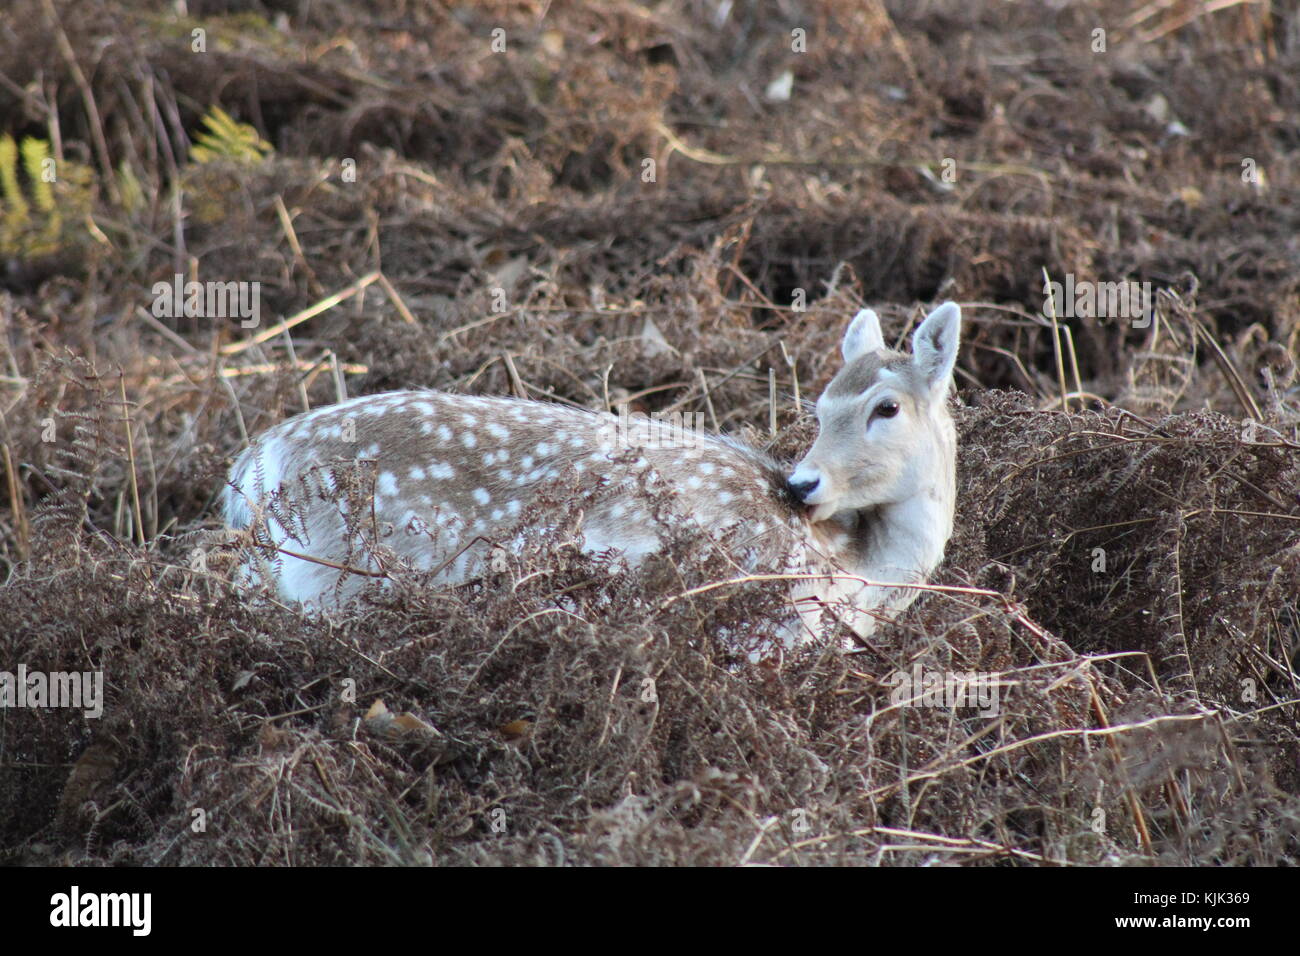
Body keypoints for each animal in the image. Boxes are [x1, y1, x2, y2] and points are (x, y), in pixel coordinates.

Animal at [222, 301, 961, 648]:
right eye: (820, 406)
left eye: (886, 407)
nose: (804, 484)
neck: (857, 575)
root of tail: (260, 460)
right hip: (333, 579)